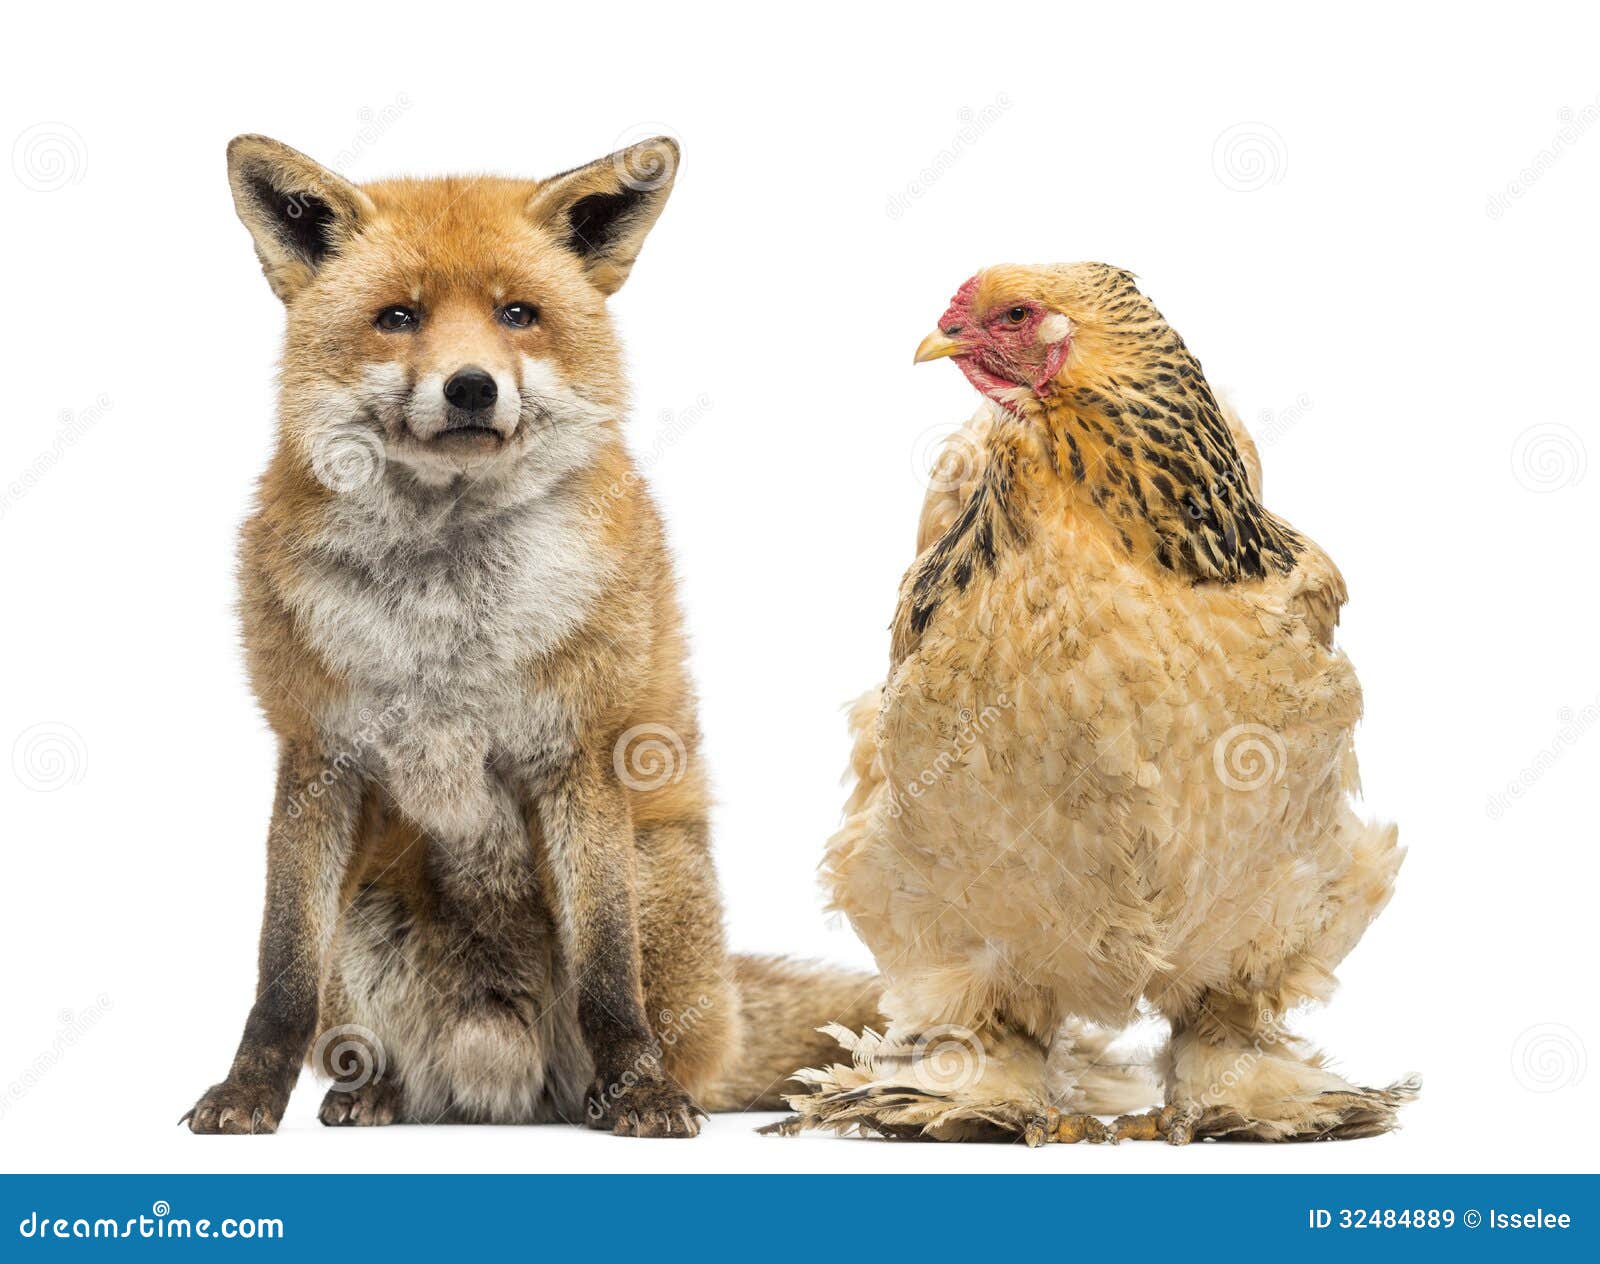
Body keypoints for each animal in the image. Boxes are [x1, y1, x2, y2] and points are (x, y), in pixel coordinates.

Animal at [182, 134, 879, 1135]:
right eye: (398, 318)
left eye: (518, 315)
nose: (471, 386)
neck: (445, 611)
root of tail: (505, 1087)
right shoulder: (317, 755)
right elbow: (281, 974)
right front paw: (246, 1094)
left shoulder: (579, 754)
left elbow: (607, 979)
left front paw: (639, 1093)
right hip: (369, 916)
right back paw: (377, 1092)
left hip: (656, 871)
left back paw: (623, 1089)